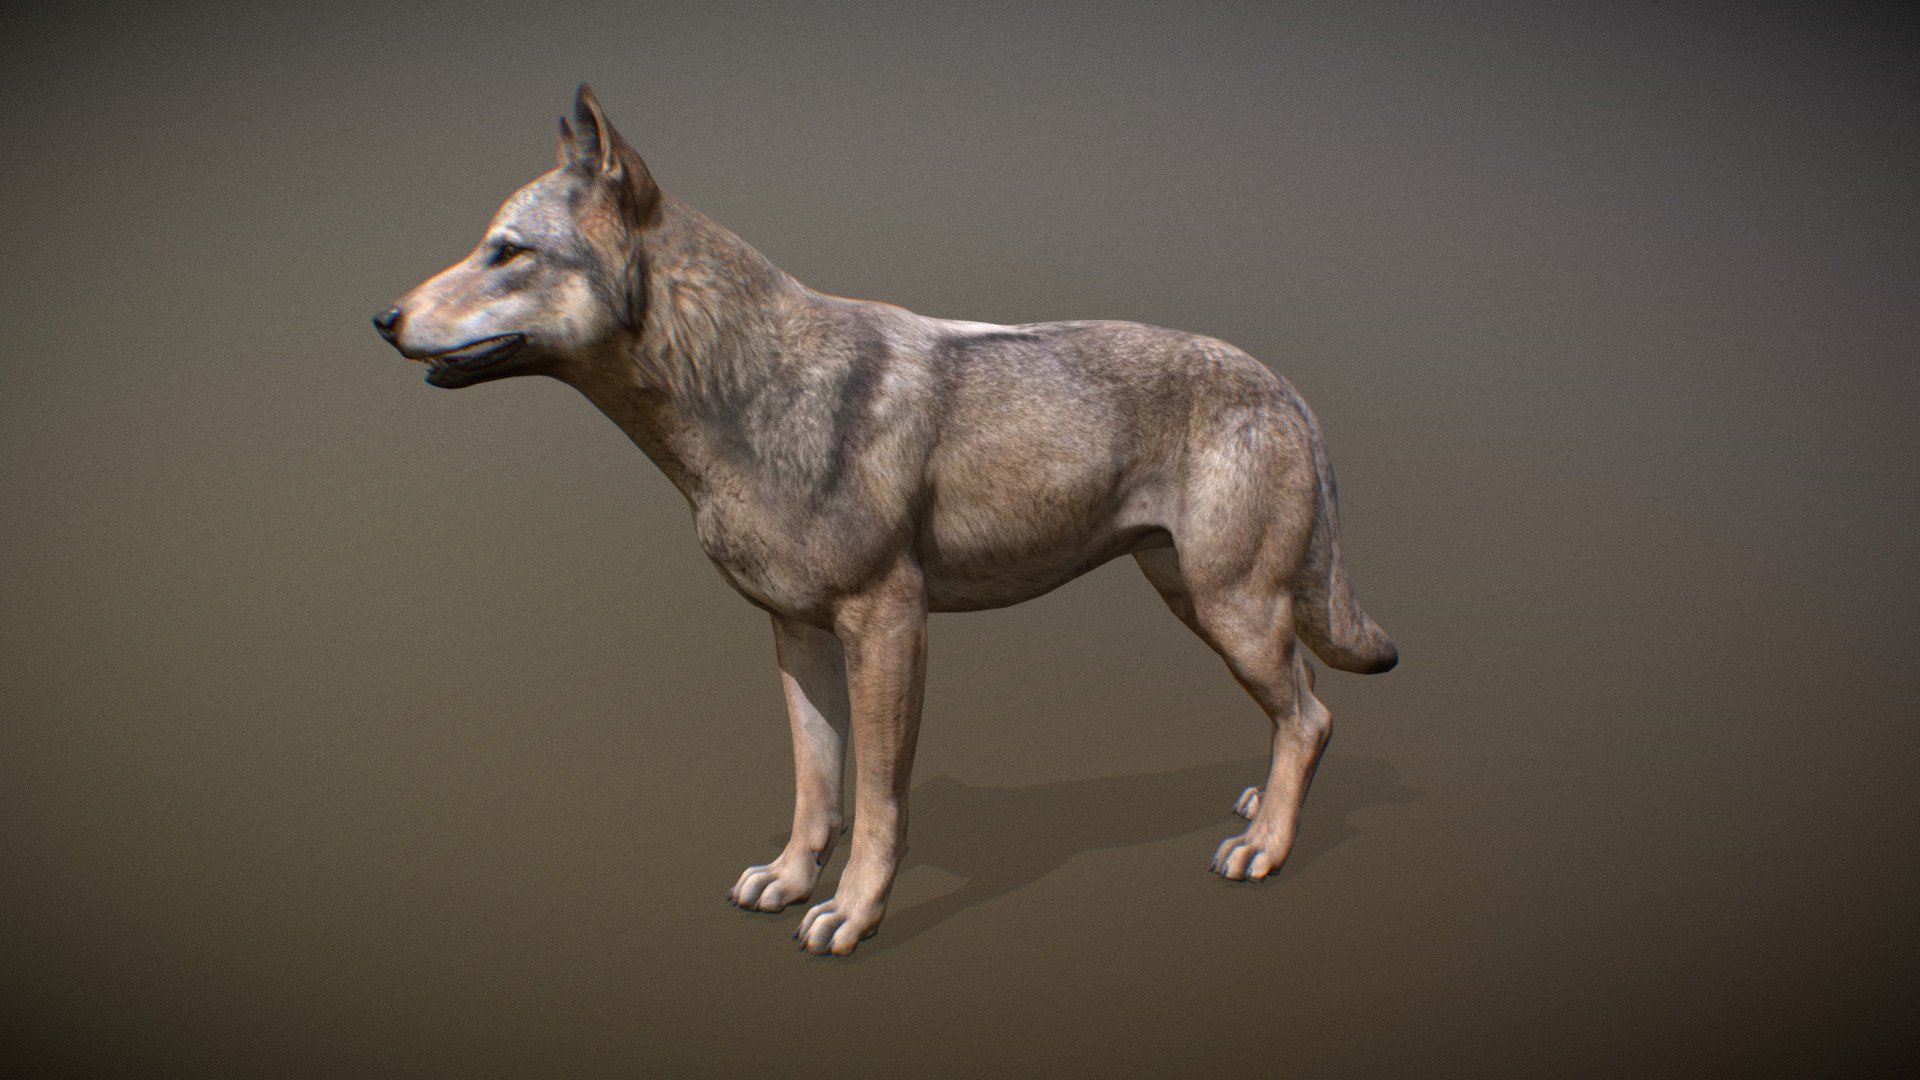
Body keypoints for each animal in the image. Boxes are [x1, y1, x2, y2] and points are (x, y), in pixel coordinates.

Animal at [374, 85, 1397, 956]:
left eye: (508, 252)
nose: (383, 318)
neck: (746, 391)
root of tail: (1284, 384)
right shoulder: (796, 633)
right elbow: (813, 784)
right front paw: (789, 879)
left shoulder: (887, 624)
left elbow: (875, 801)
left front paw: (851, 915)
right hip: (1196, 600)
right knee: (1298, 707)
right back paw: (1260, 808)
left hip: (1232, 612)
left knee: (1313, 715)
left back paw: (1266, 848)